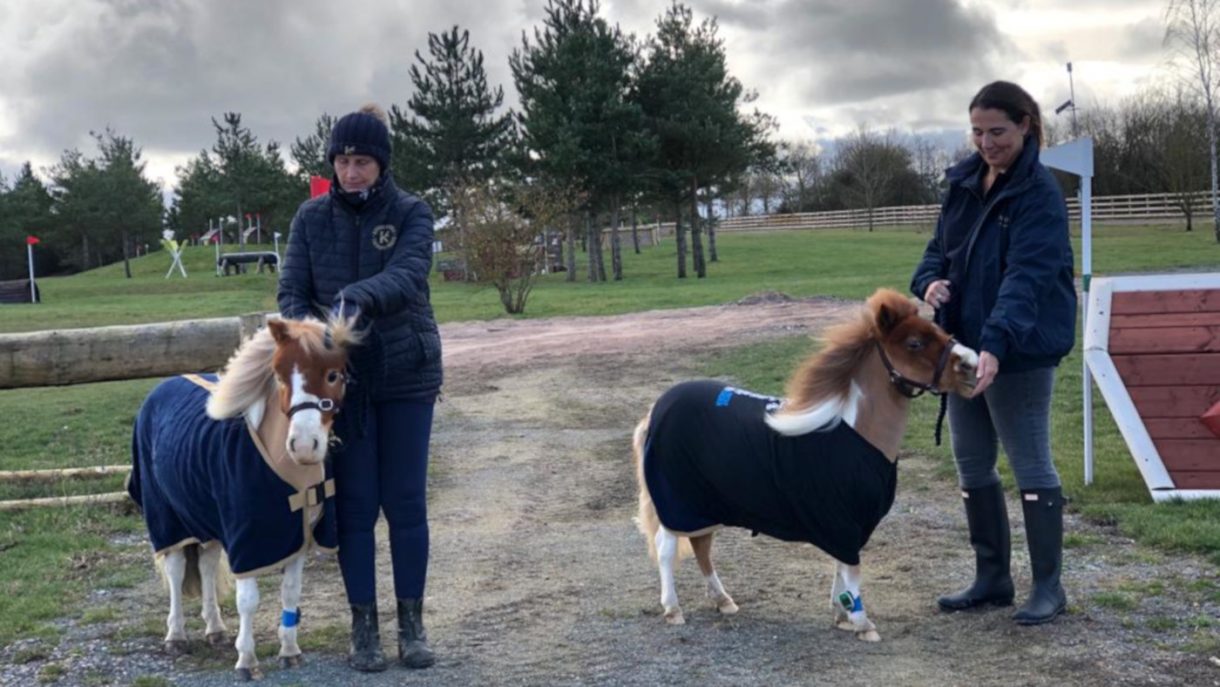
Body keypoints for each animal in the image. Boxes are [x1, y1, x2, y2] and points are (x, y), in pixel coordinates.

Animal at [127, 315, 358, 680]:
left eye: (333, 374)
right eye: (278, 375)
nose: (303, 446)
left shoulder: (298, 540)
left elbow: (290, 591)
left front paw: (290, 650)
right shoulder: (245, 540)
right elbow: (248, 600)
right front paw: (247, 660)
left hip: (203, 517)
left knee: (206, 565)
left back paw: (215, 629)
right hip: (169, 518)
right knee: (176, 569)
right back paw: (176, 635)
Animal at [632, 288, 979, 642]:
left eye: (937, 329)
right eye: (914, 343)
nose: (972, 364)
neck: (854, 432)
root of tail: (656, 410)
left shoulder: (848, 524)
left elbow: (842, 566)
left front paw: (842, 614)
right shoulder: (842, 520)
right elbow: (852, 570)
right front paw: (863, 623)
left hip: (704, 505)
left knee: (701, 545)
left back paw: (723, 600)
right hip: (676, 503)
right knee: (666, 548)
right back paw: (673, 609)